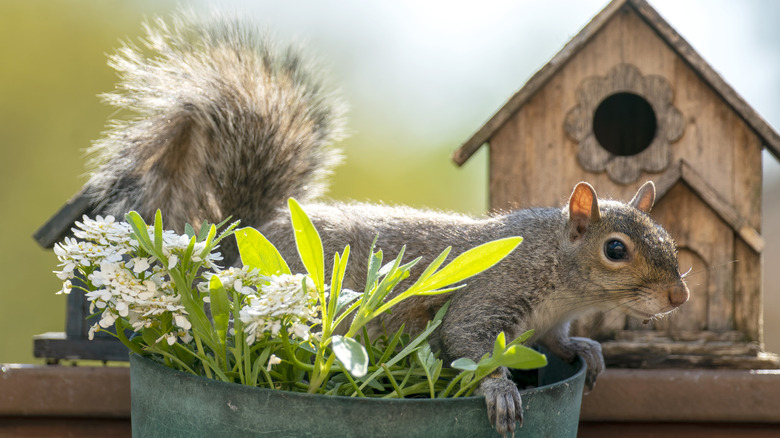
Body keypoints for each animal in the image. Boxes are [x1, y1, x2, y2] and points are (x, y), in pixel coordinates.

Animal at [80, 12, 690, 437]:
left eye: (669, 241)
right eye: (616, 250)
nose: (679, 297)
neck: (558, 277)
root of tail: (233, 245)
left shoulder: (549, 323)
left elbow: (558, 342)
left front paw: (587, 349)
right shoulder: (492, 292)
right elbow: (467, 342)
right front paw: (500, 391)